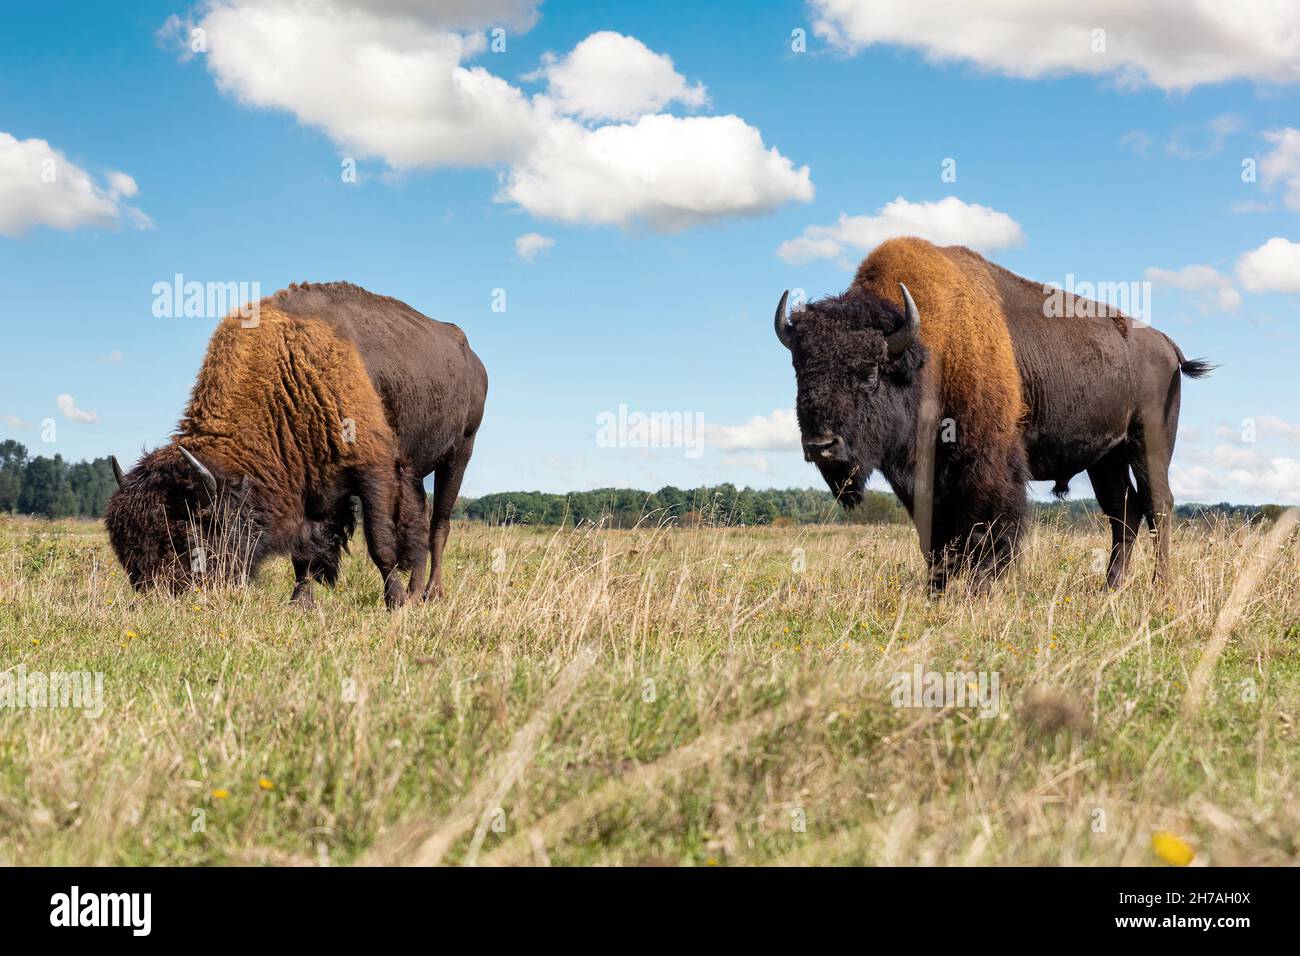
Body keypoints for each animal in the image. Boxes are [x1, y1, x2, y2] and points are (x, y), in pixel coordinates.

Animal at [105, 282, 487, 608]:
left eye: (185, 536)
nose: (157, 599)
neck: (289, 368)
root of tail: (471, 357)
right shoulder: (306, 482)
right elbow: (302, 553)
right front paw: (300, 602)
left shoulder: (374, 469)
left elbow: (381, 541)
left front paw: (395, 602)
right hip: (416, 470)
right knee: (420, 522)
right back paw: (417, 590)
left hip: (458, 454)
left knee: (438, 525)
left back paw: (431, 594)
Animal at [775, 237, 1209, 589]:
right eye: (800, 368)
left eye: (869, 371)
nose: (820, 445)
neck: (929, 350)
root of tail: (1164, 343)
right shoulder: (921, 479)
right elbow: (935, 536)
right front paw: (938, 588)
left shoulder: (987, 463)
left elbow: (986, 528)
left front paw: (979, 588)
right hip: (1106, 458)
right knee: (1124, 512)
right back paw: (1110, 587)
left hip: (1148, 442)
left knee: (1158, 505)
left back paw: (1159, 587)